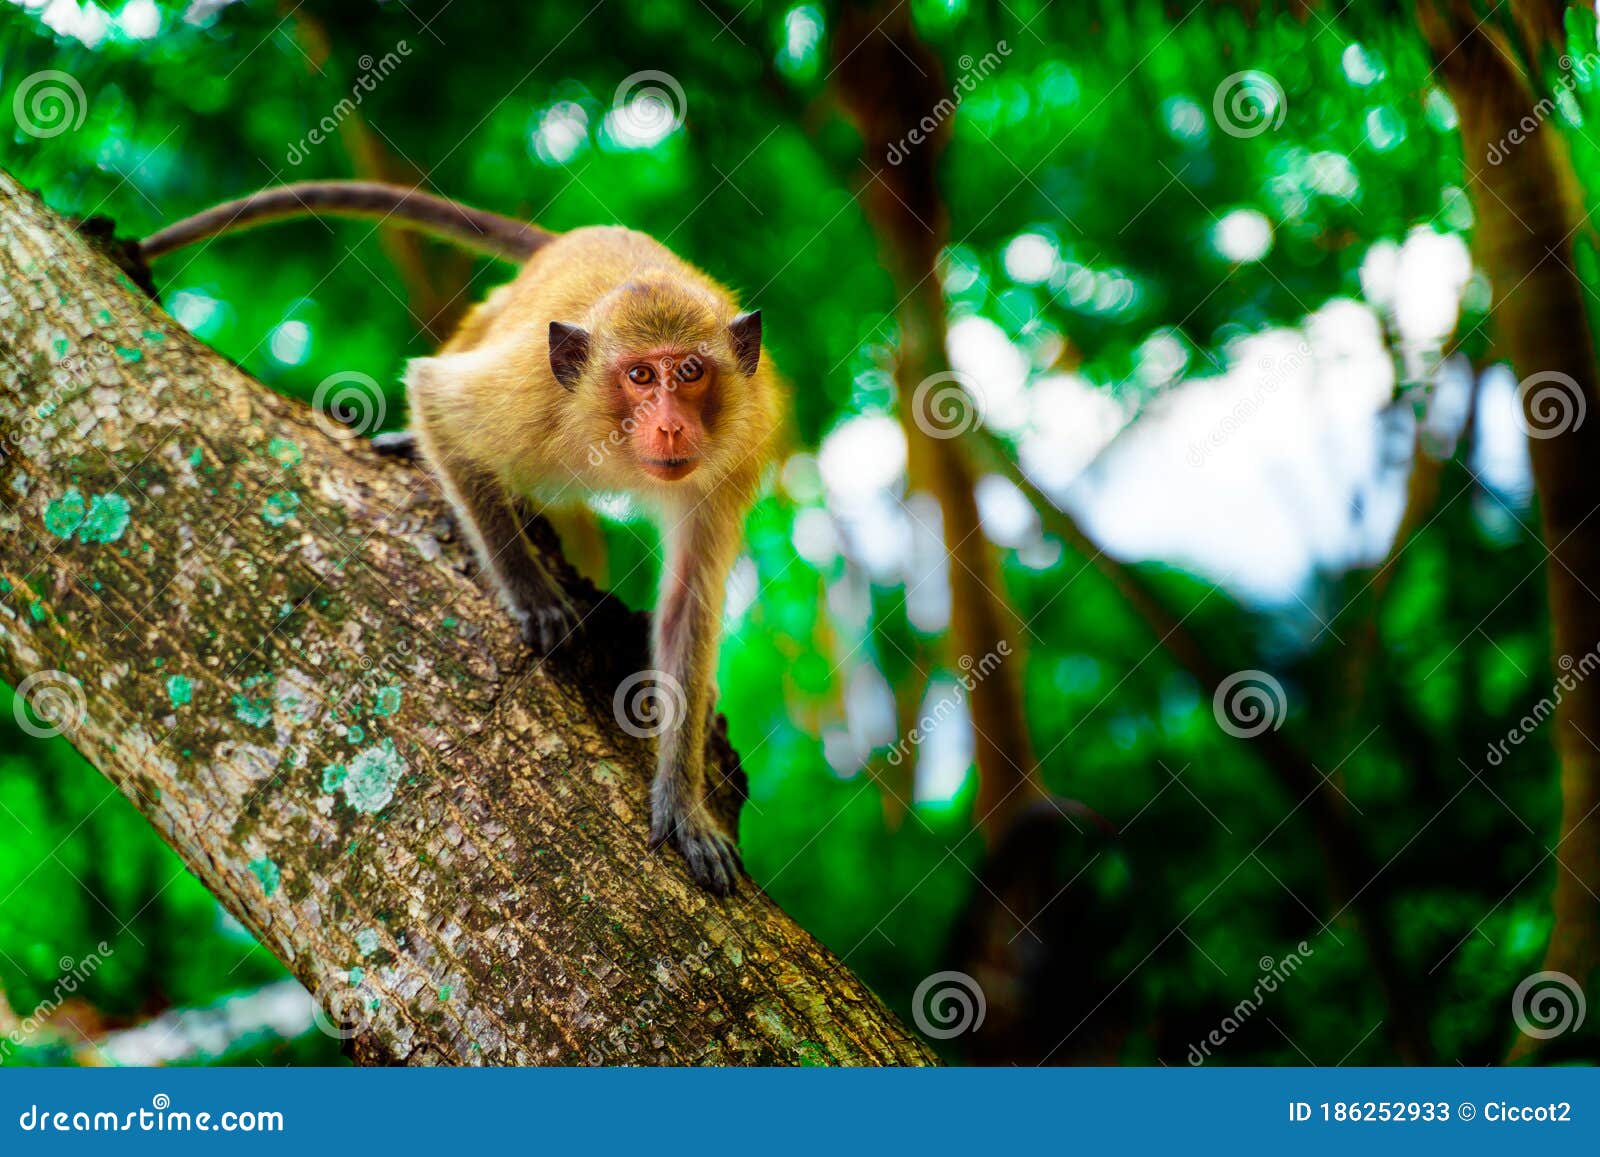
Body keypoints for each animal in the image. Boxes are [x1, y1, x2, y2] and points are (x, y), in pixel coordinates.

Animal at [142, 182, 783, 895]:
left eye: (691, 371)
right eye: (641, 376)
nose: (670, 426)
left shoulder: (732, 454)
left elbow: (684, 613)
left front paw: (683, 801)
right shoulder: (533, 394)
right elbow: (438, 402)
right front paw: (534, 597)